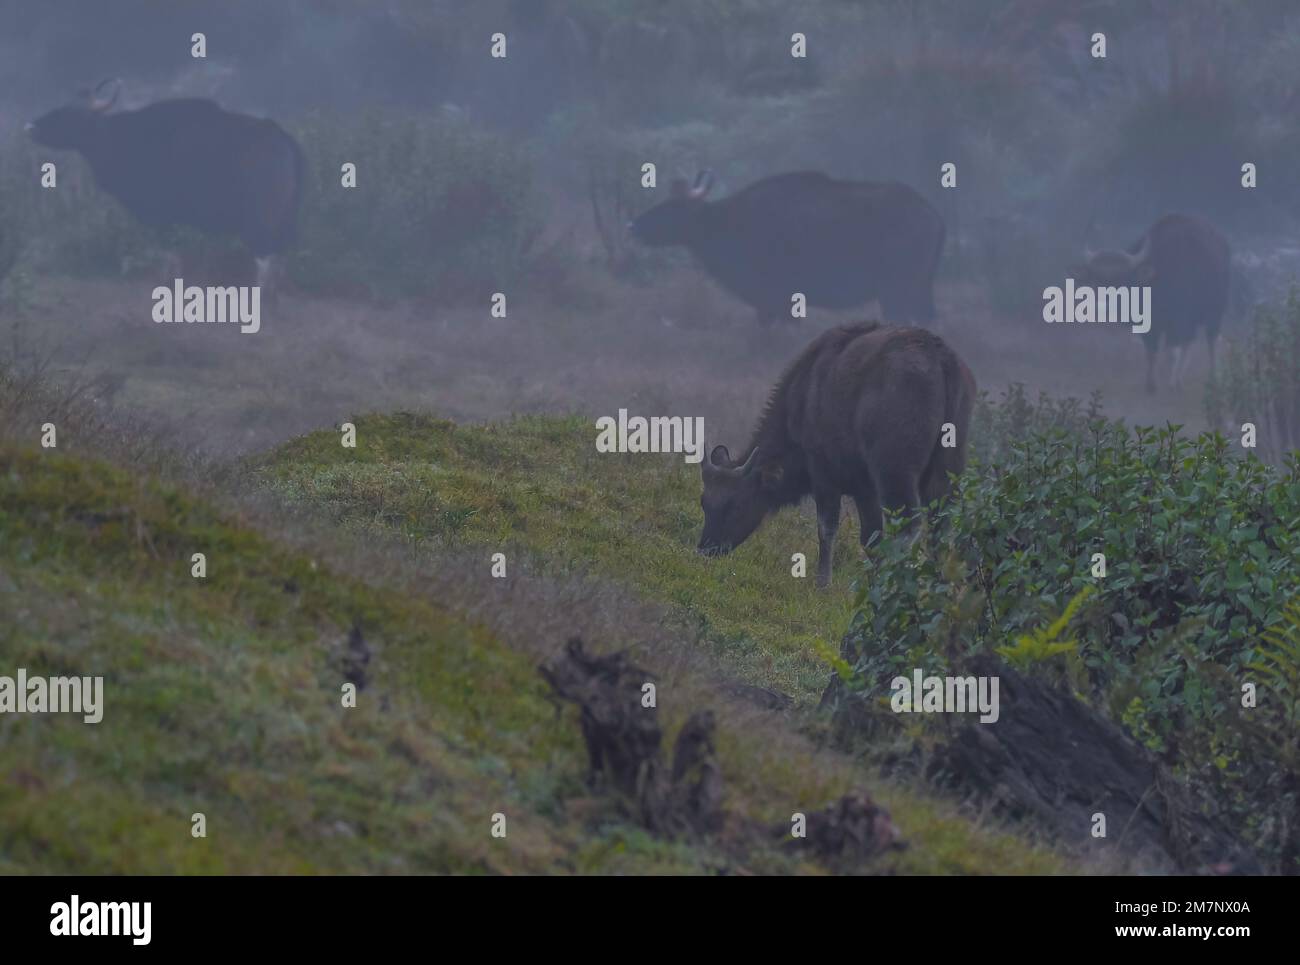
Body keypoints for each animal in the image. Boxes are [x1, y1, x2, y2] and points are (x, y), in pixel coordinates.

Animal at [26, 79, 304, 293]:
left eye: (69, 114)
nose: (31, 126)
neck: (122, 139)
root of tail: (281, 137)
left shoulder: (160, 215)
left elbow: (168, 254)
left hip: (261, 218)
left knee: (265, 257)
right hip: (285, 219)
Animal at [630, 171, 945, 327]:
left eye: (674, 207)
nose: (634, 225)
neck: (732, 221)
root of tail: (929, 210)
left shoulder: (772, 298)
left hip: (896, 290)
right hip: (921, 287)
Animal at [699, 321, 976, 587]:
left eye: (734, 504)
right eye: (704, 502)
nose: (706, 548)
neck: (802, 402)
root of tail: (939, 358)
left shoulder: (825, 478)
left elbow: (828, 529)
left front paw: (823, 582)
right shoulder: (865, 489)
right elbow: (871, 539)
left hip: (895, 472)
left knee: (908, 530)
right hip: (947, 469)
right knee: (941, 527)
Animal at [1076, 214, 1230, 392]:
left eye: (1123, 278)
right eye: (1098, 278)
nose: (1106, 304)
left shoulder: (1178, 321)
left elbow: (1171, 353)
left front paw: (1168, 383)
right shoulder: (1149, 326)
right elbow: (1151, 352)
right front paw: (1151, 384)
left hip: (1214, 312)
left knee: (1211, 342)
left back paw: (1212, 377)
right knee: (1189, 343)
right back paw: (1179, 379)